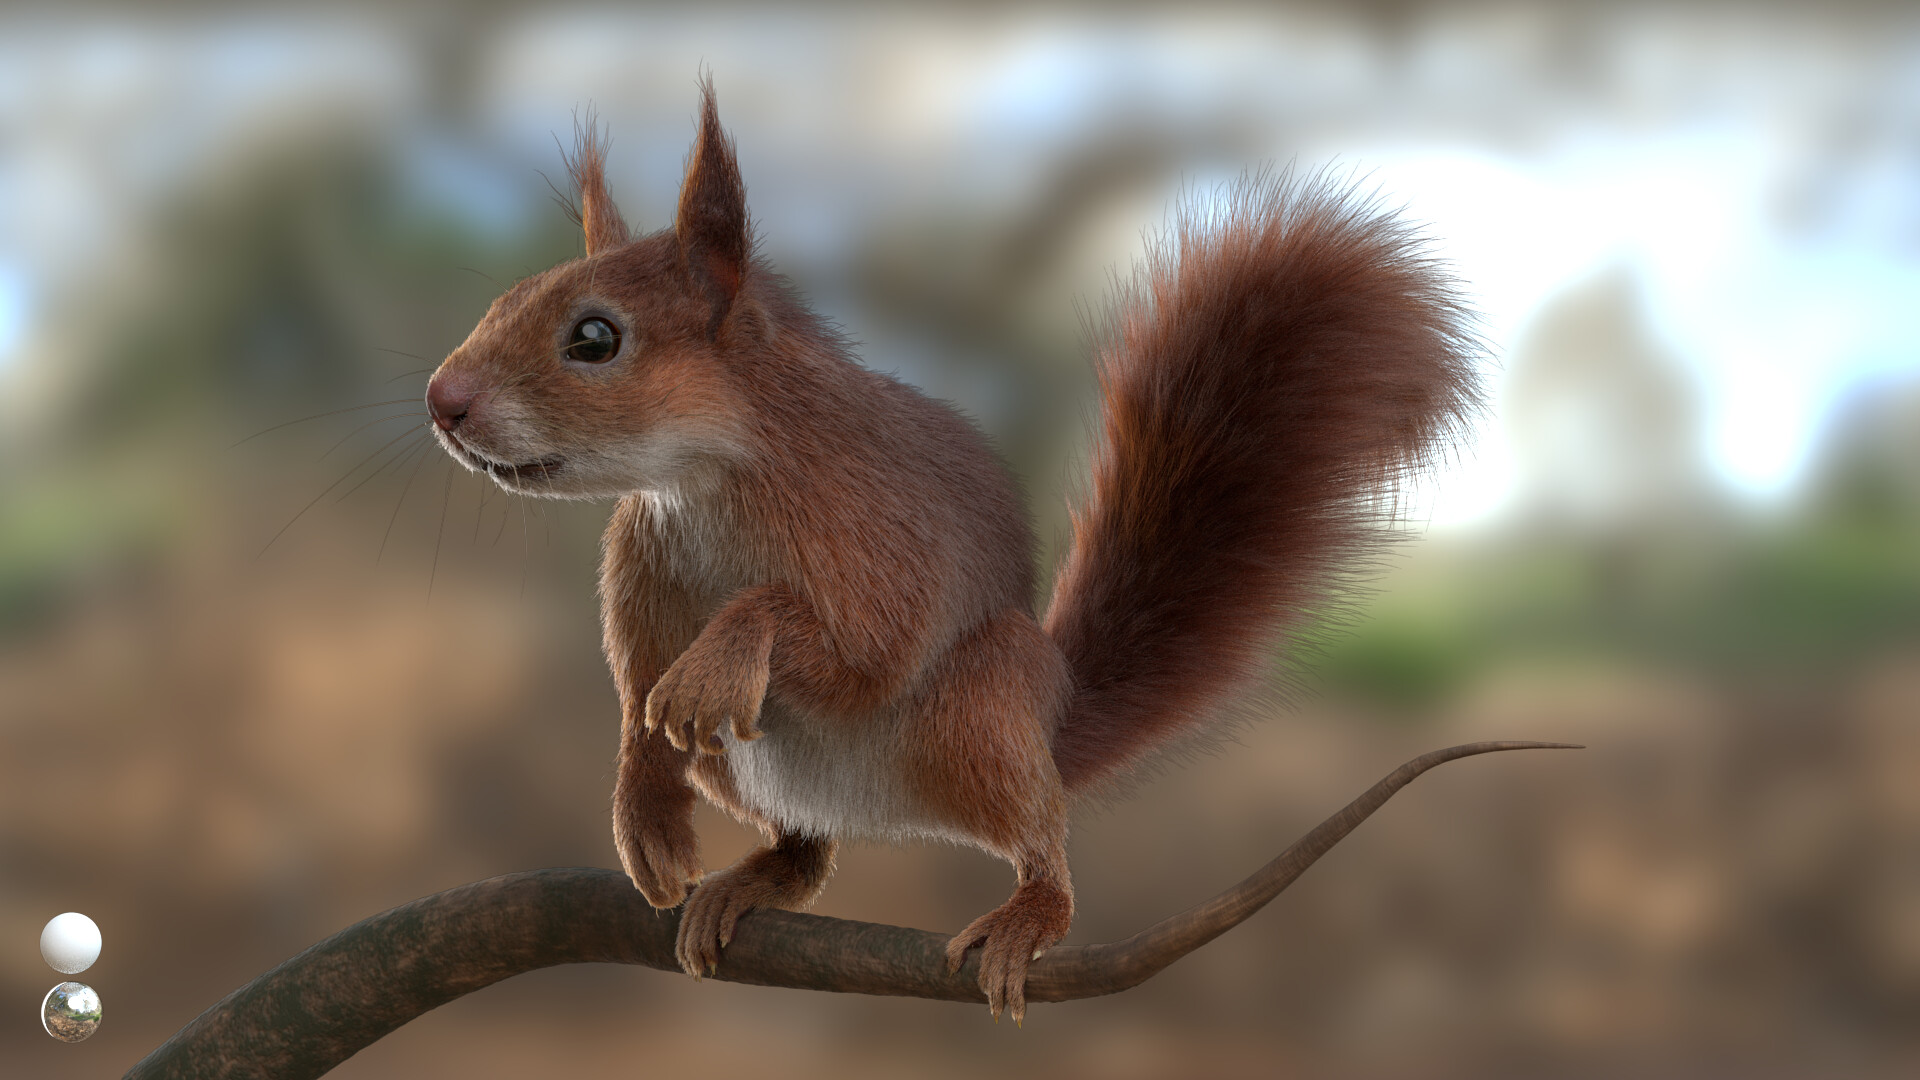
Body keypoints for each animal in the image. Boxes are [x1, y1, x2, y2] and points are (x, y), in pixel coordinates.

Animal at [423, 79, 1480, 1022]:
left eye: (595, 337)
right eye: (507, 297)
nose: (444, 401)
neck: (703, 483)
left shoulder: (877, 539)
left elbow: (861, 650)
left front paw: (719, 661)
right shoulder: (638, 578)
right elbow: (637, 700)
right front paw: (644, 818)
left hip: (978, 712)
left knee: (1039, 834)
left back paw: (1030, 913)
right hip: (748, 771)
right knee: (809, 850)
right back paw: (748, 881)